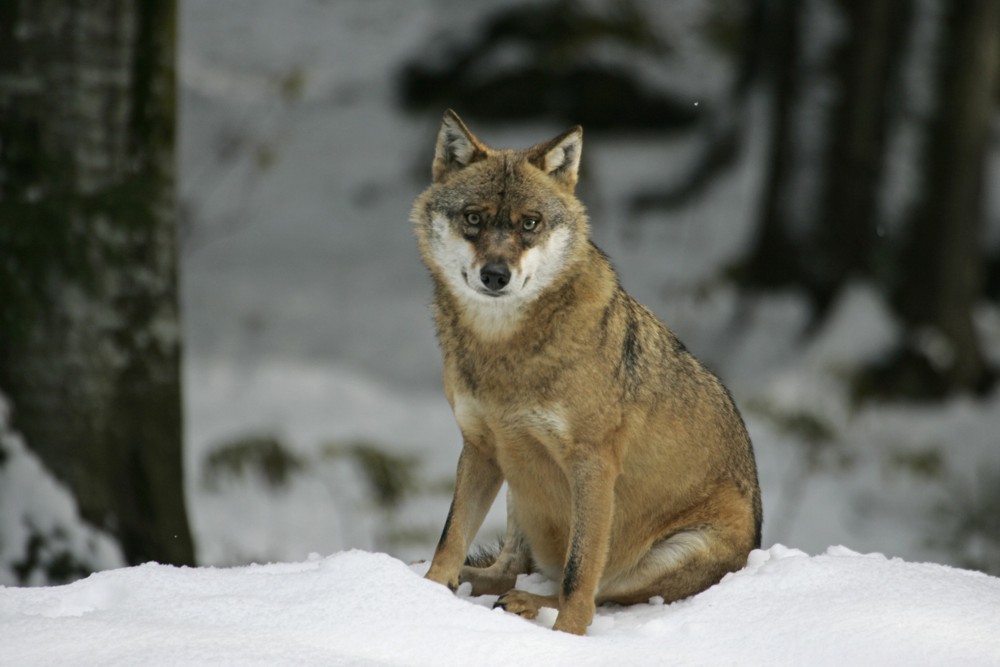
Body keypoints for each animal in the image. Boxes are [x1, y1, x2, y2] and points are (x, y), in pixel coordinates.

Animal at [412, 110, 762, 635]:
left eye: (530, 223)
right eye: (473, 218)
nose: (495, 275)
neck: (505, 352)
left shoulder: (593, 464)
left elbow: (580, 575)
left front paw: (567, 638)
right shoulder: (480, 448)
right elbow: (450, 540)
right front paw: (424, 596)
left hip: (670, 551)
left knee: (591, 589)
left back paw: (527, 604)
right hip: (520, 484)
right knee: (509, 569)